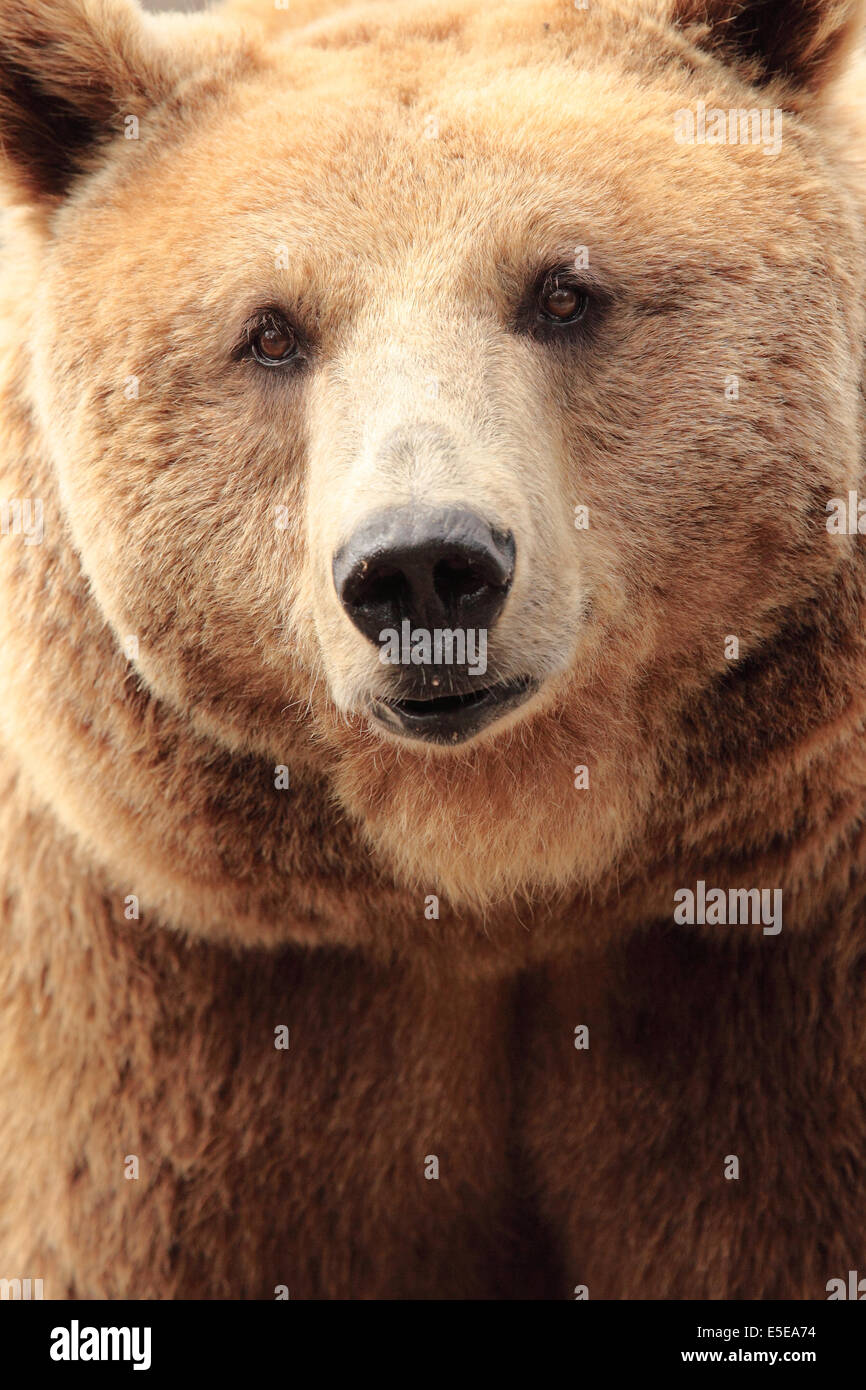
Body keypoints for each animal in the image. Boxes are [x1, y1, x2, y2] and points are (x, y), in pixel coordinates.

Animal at [0, 0, 865, 1301]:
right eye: (270, 331)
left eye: (563, 291)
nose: (421, 566)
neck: (491, 871)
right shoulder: (170, 1031)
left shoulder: (777, 987)